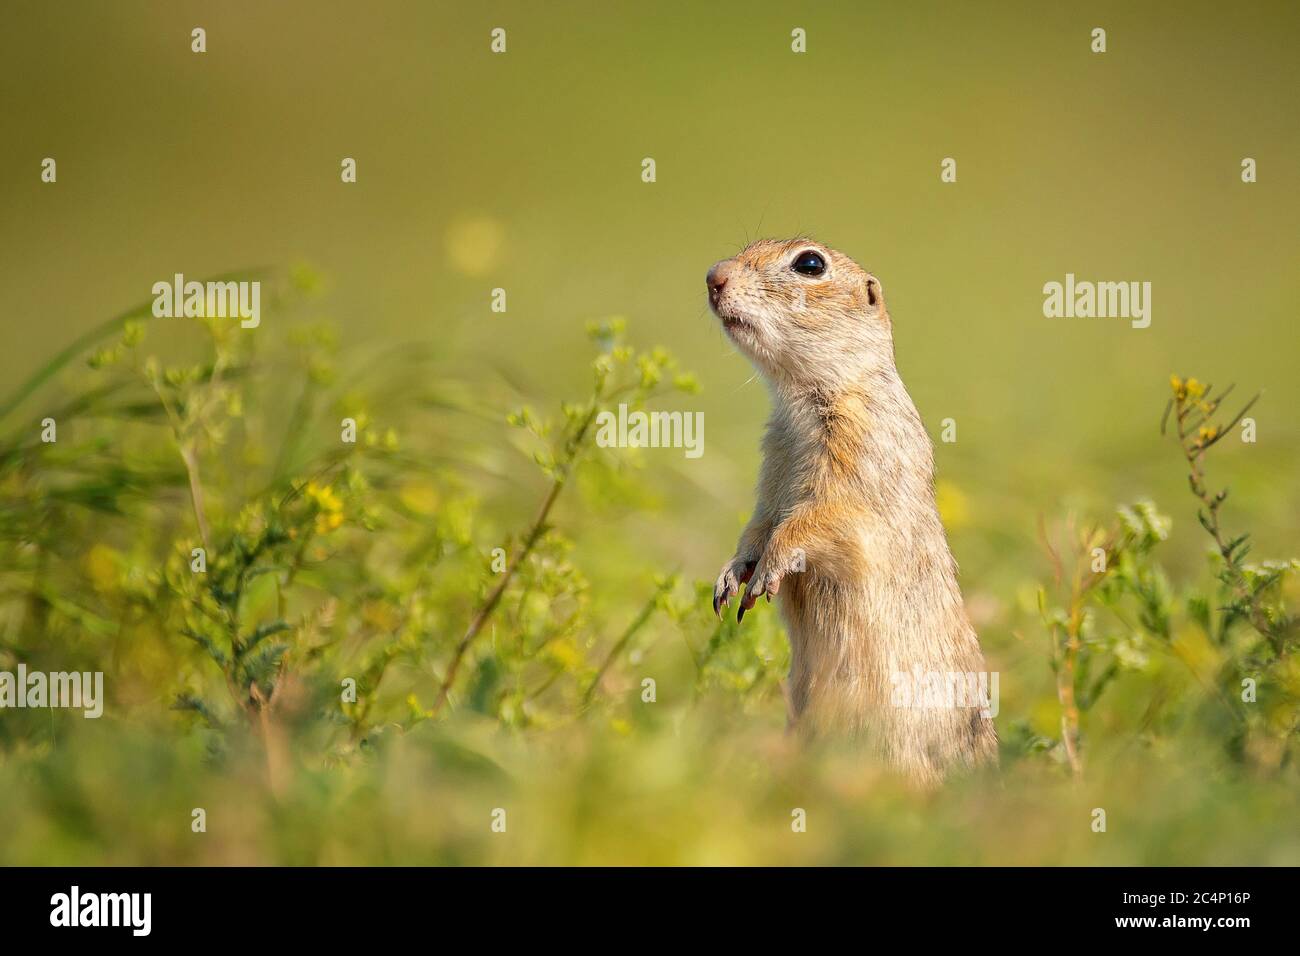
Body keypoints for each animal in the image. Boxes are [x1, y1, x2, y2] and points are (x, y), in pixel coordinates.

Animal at [707, 237, 997, 784]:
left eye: (810, 263)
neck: (801, 400)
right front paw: (732, 575)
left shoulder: (856, 462)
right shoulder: (772, 470)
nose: (714, 276)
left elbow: (820, 522)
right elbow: (759, 523)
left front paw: (769, 570)